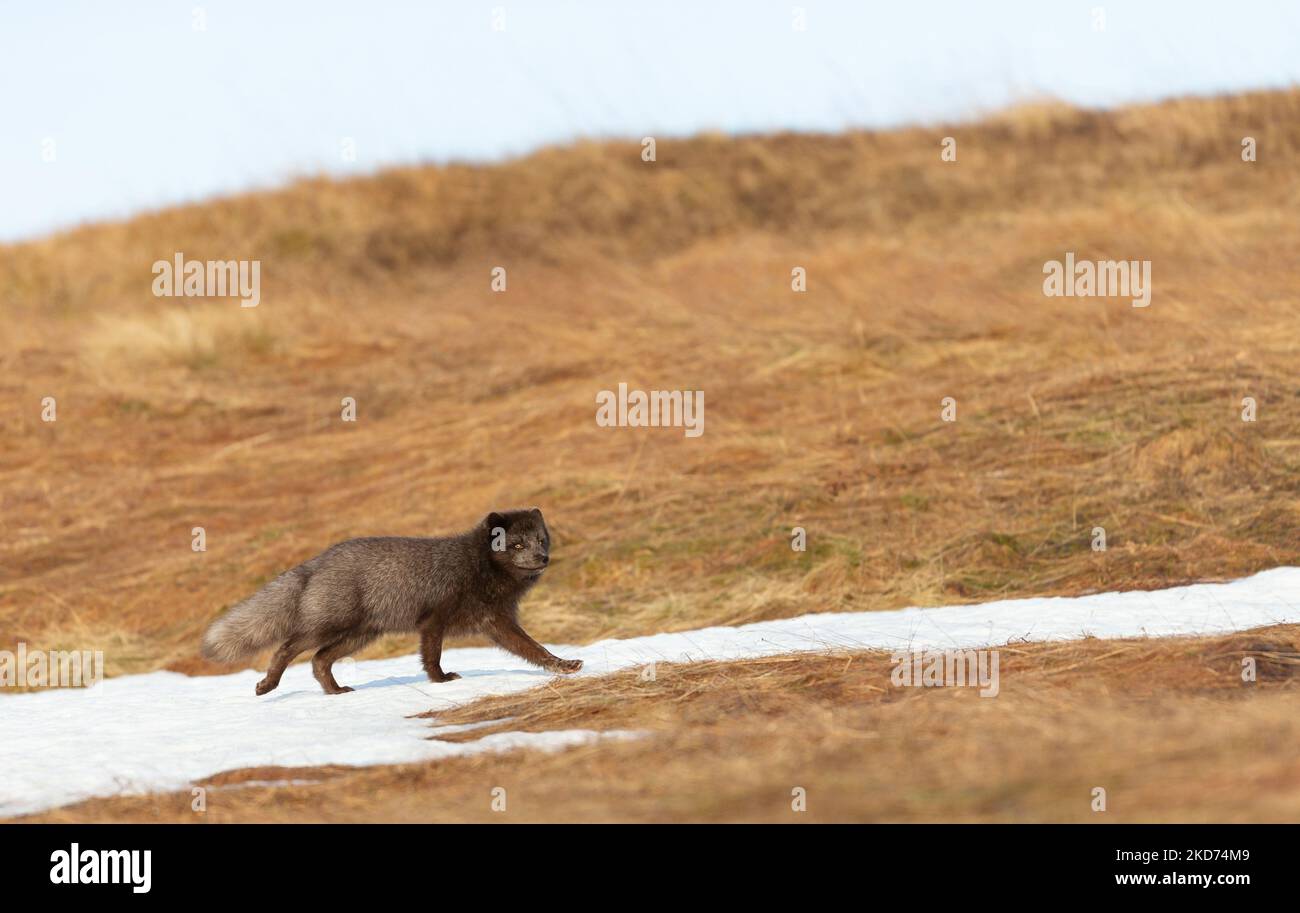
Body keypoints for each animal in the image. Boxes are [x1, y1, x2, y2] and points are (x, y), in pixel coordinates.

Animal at [200, 508, 582, 695]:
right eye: (516, 545)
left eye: (540, 540)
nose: (543, 559)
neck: (477, 567)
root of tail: (318, 560)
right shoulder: (434, 620)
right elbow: (432, 657)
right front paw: (441, 681)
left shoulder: (498, 623)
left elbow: (535, 650)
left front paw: (564, 666)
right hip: (330, 626)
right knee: (286, 648)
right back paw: (267, 686)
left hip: (361, 635)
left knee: (319, 661)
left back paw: (335, 692)